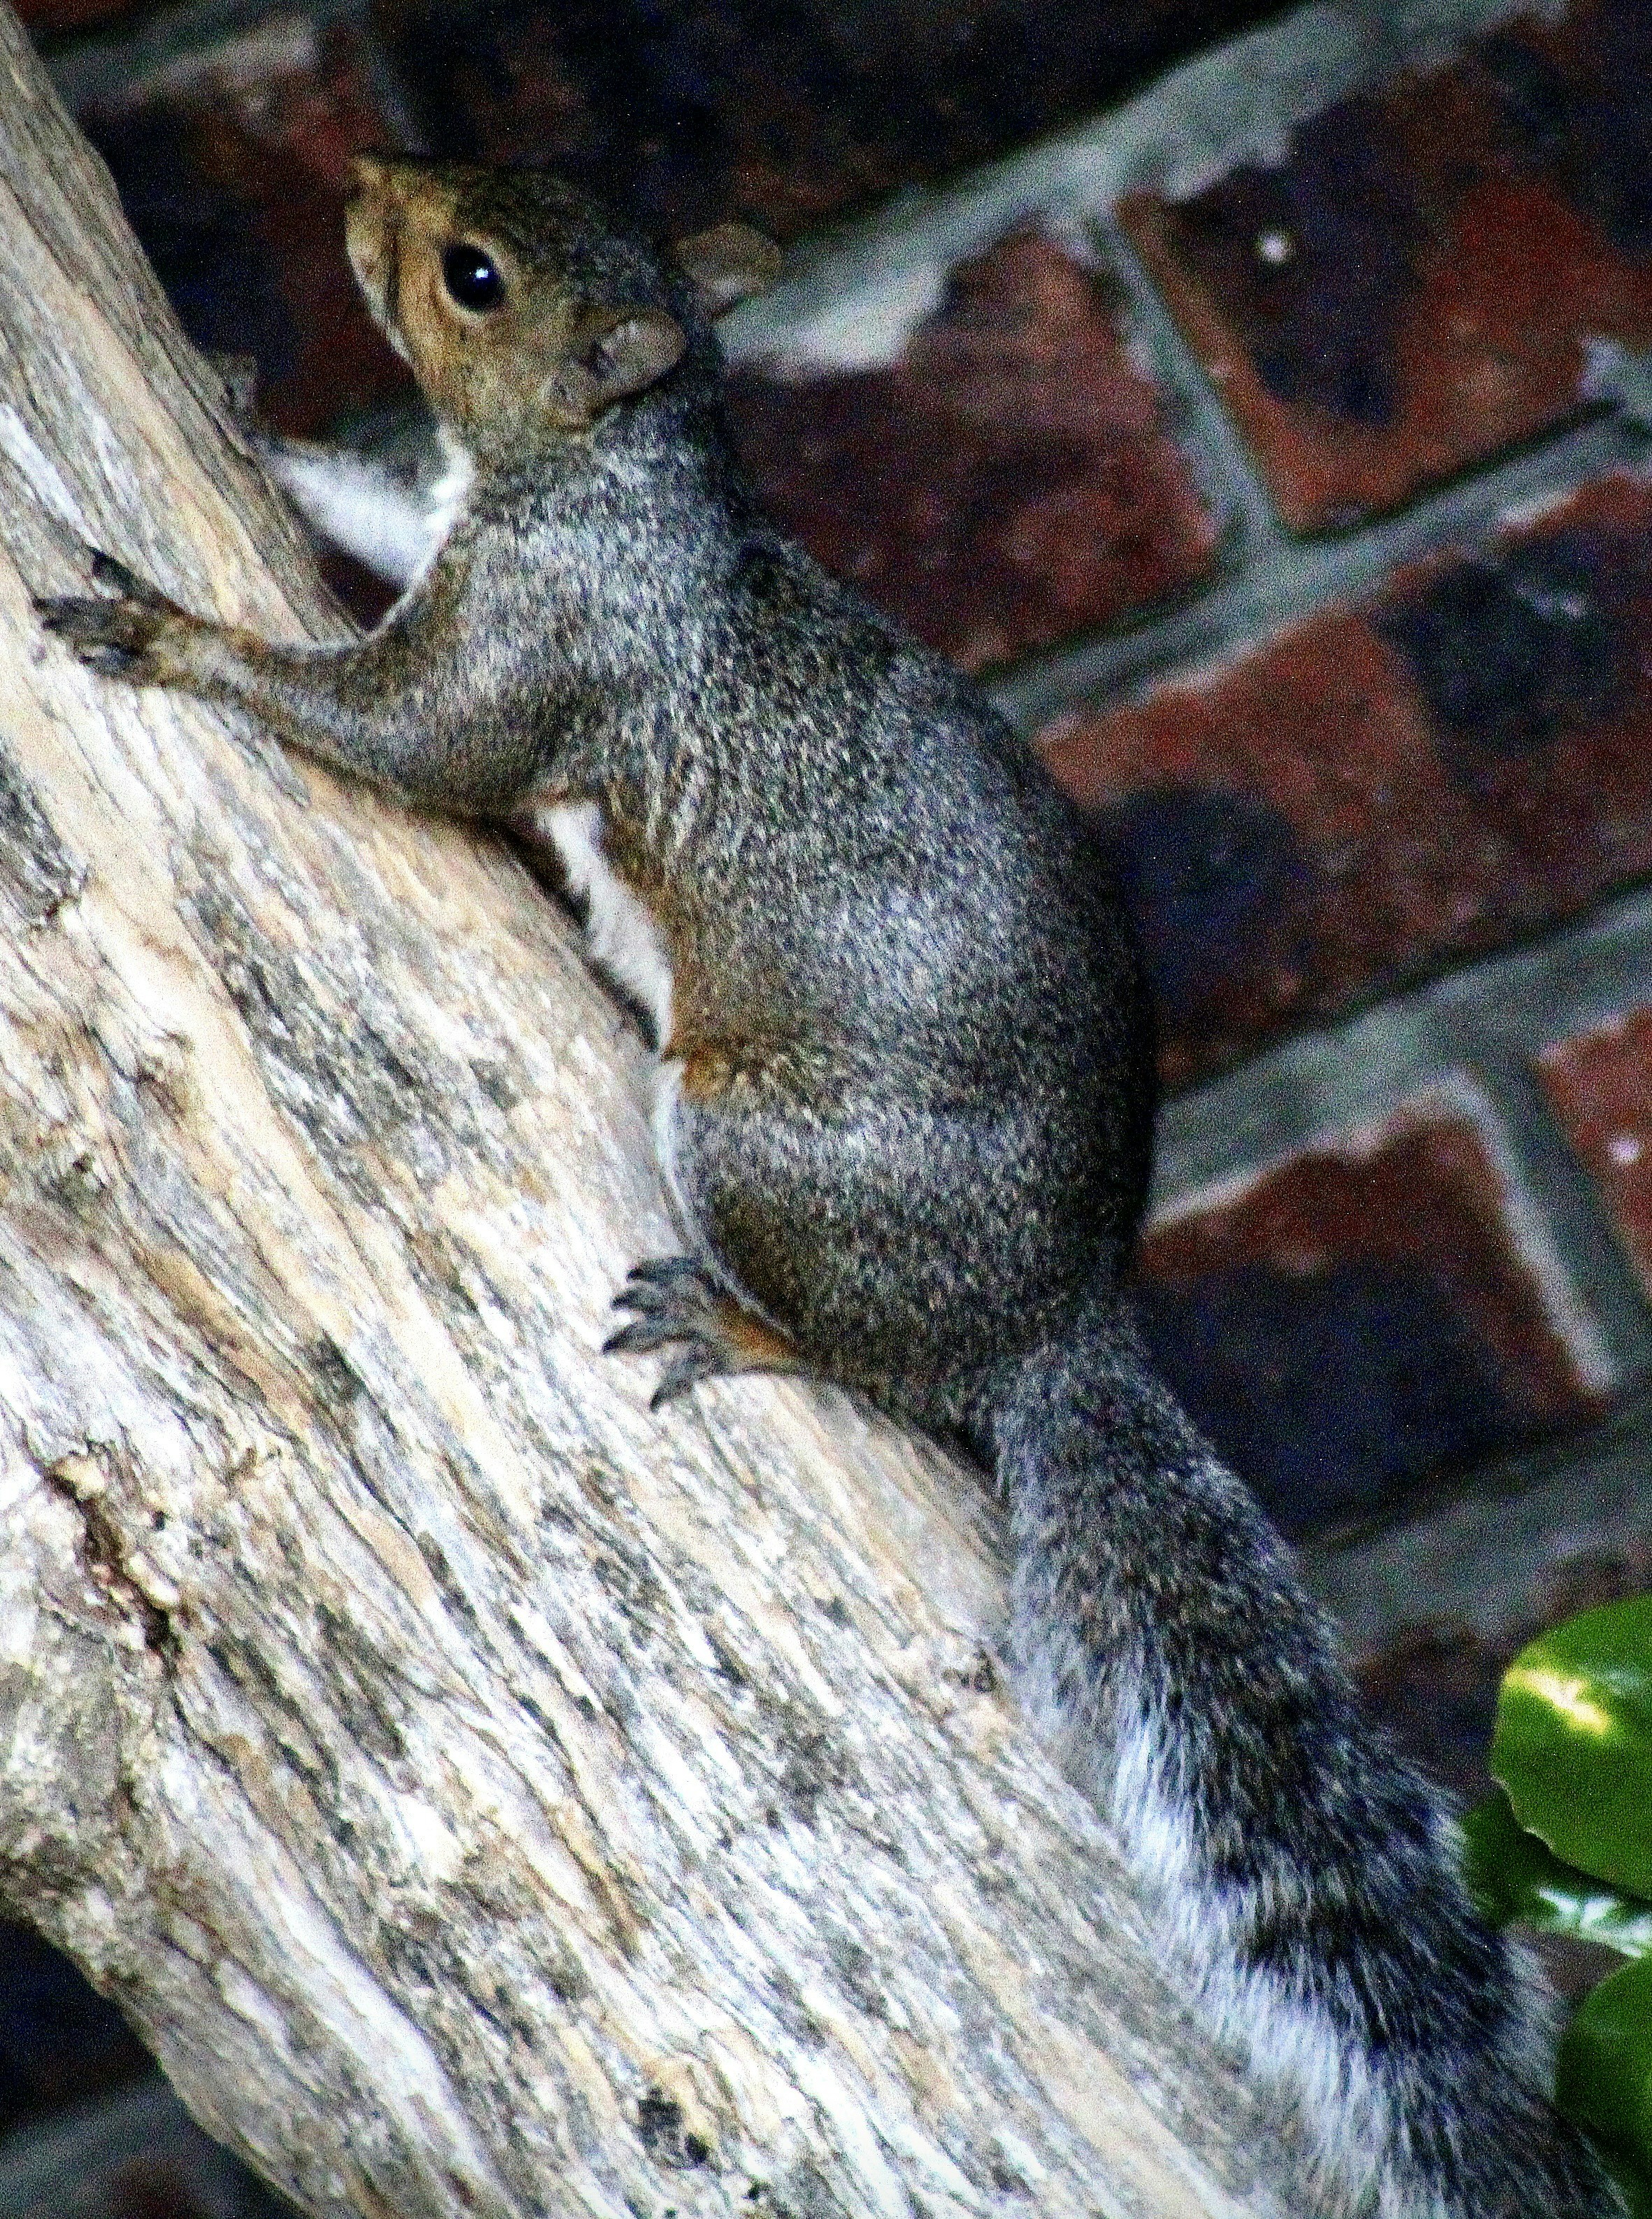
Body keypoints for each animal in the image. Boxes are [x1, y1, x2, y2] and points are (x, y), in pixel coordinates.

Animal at [37, 156, 1623, 2219]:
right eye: (495, 203)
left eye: (473, 274)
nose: (365, 189)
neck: (631, 481)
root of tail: (1055, 1318)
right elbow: (374, 510)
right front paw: (254, 417)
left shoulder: (552, 648)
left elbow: (417, 739)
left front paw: (179, 638)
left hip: (752, 1139)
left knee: (877, 1363)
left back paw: (746, 1325)